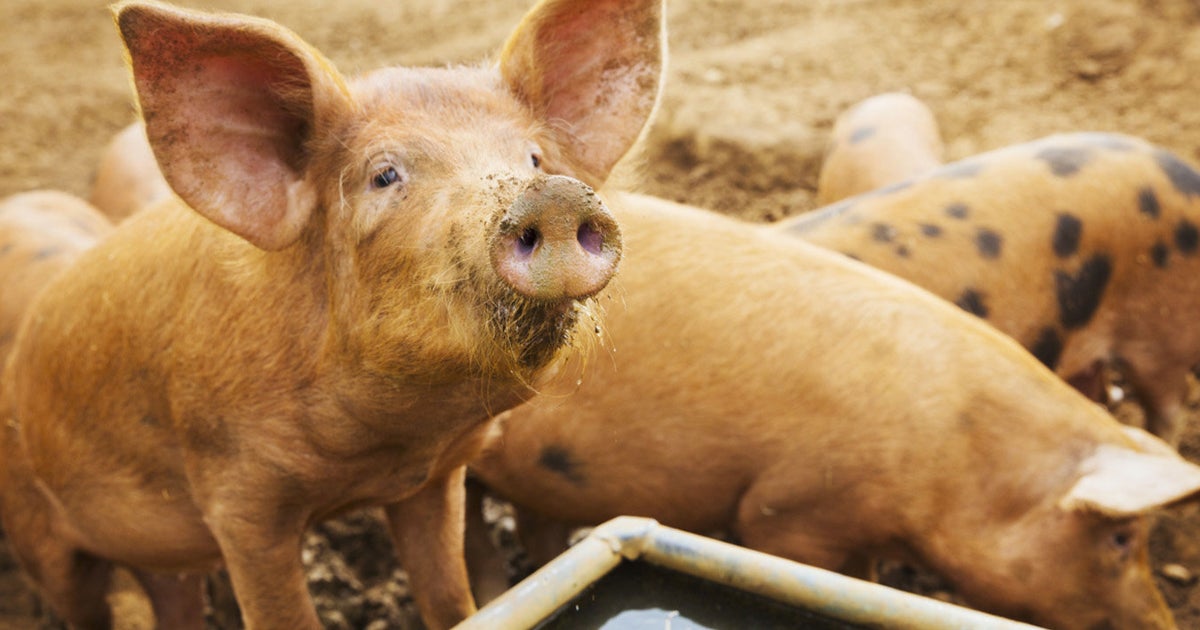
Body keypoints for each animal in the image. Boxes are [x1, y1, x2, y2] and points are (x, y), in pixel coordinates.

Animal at [0, 0, 663, 628]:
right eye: (384, 175)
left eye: (533, 158)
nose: (553, 196)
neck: (378, 453)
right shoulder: (239, 503)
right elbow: (283, 614)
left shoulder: (433, 478)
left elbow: (451, 599)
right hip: (39, 532)